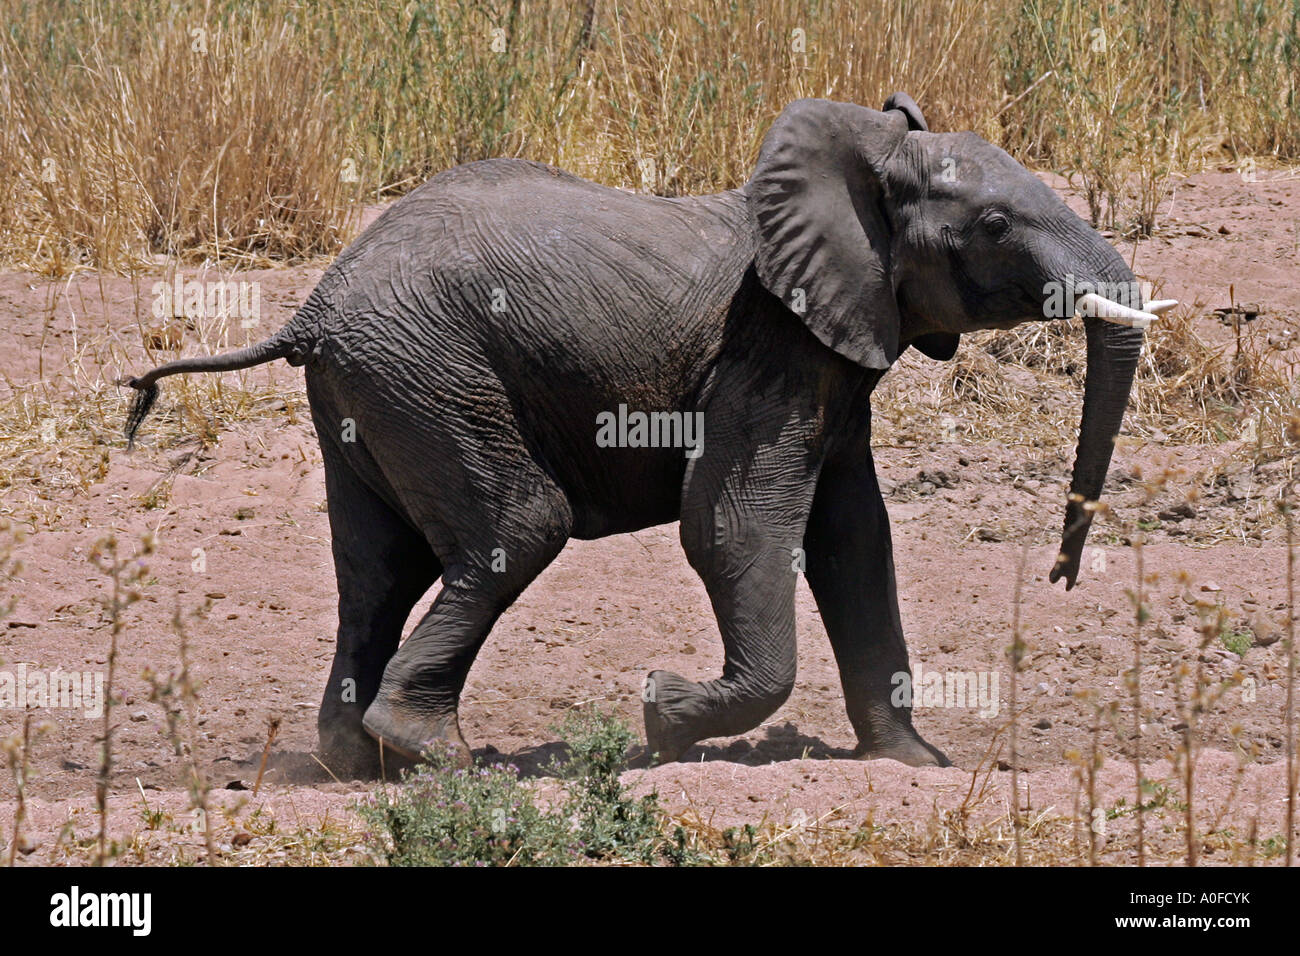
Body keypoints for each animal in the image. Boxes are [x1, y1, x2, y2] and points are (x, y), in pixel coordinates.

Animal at [123, 93, 1175, 774]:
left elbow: (856, 544)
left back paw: (360, 764)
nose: (1062, 573)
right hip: (427, 370)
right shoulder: (769, 345)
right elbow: (736, 528)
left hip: (373, 389)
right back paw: (443, 758)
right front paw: (663, 717)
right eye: (994, 224)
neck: (862, 164)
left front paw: (919, 768)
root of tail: (311, 309)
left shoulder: (832, 351)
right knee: (517, 527)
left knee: (380, 570)